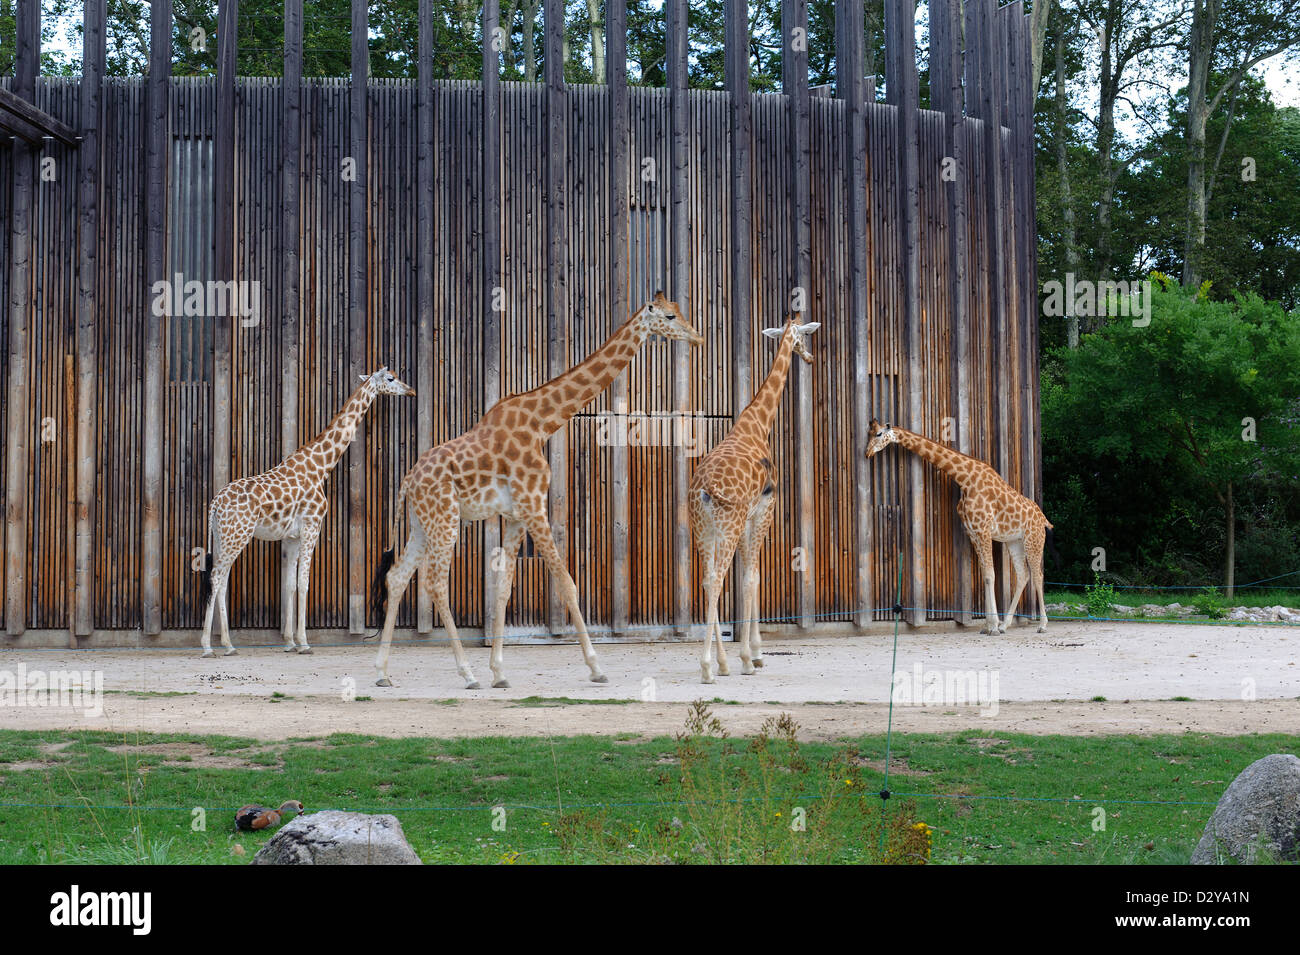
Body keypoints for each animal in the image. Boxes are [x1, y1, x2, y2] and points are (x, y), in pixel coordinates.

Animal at [198, 367, 415, 657]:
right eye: (391, 378)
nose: (411, 390)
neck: (321, 466)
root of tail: (214, 505)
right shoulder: (312, 527)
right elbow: (304, 583)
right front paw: (304, 642)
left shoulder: (292, 537)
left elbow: (289, 585)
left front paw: (289, 641)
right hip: (238, 536)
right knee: (216, 577)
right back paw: (209, 646)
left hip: (223, 537)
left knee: (220, 580)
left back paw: (226, 644)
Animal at [369, 292, 704, 689]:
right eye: (669, 317)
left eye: (679, 311)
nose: (698, 338)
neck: (543, 421)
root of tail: (407, 481)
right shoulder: (533, 505)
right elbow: (567, 582)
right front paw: (596, 667)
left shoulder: (516, 515)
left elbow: (503, 588)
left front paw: (499, 672)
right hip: (445, 520)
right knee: (435, 583)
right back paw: (466, 674)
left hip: (422, 523)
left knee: (397, 577)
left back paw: (383, 673)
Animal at [689, 316, 820, 684]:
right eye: (805, 335)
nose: (810, 358)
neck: (758, 424)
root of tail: (703, 491)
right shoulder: (763, 509)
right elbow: (752, 577)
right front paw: (753, 656)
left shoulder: (749, 515)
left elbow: (749, 577)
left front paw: (746, 656)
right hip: (727, 527)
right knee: (718, 579)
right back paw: (708, 666)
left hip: (702, 529)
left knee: (707, 579)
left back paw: (719, 663)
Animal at [864, 420, 1052, 634]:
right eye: (869, 434)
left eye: (879, 434)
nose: (867, 453)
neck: (965, 479)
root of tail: (1044, 520)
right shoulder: (972, 532)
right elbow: (986, 576)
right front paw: (989, 626)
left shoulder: (983, 529)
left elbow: (990, 574)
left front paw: (993, 627)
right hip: (1015, 542)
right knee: (1023, 575)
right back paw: (1006, 625)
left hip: (1033, 540)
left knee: (1037, 575)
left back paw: (1042, 625)